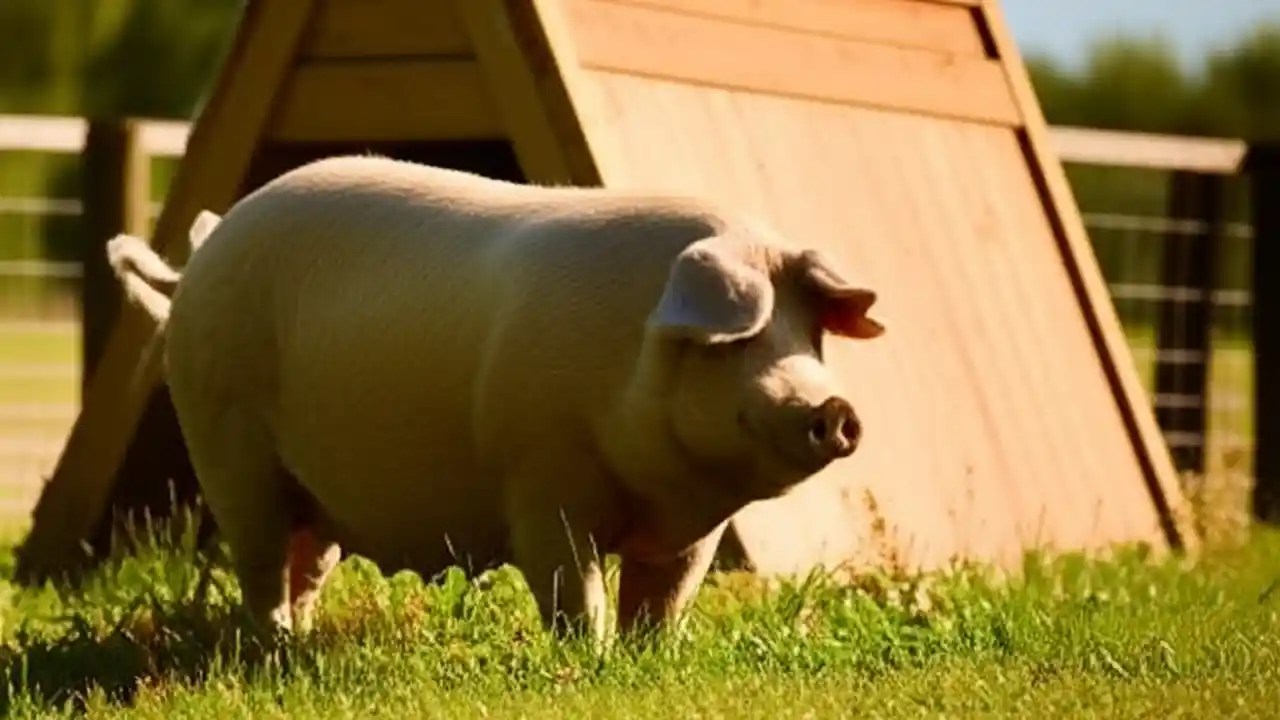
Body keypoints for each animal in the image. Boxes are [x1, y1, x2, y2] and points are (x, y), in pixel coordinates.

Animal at [106, 155, 886, 642]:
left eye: (808, 336)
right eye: (738, 340)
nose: (836, 410)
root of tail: (195, 262)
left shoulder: (692, 535)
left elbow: (662, 604)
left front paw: (648, 659)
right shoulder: (541, 482)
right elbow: (574, 592)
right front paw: (591, 661)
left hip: (307, 493)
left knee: (306, 566)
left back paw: (298, 646)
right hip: (226, 445)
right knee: (262, 564)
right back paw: (275, 652)